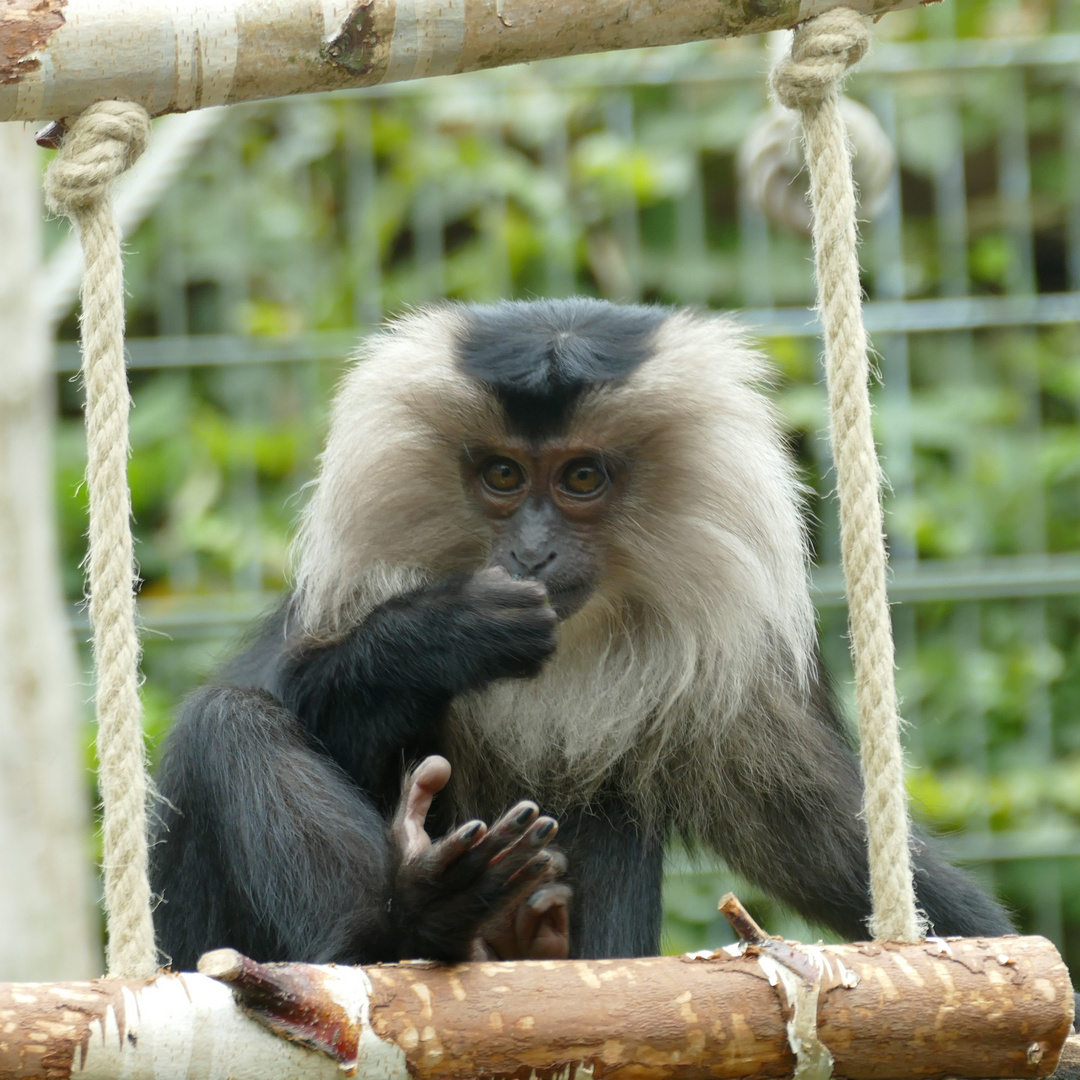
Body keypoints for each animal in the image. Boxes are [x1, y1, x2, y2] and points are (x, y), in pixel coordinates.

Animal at [151, 297, 1013, 971]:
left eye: (582, 478)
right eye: (503, 475)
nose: (533, 553)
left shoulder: (737, 674)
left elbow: (821, 832)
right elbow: (289, 695)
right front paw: (437, 635)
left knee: (613, 796)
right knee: (225, 722)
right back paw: (416, 921)